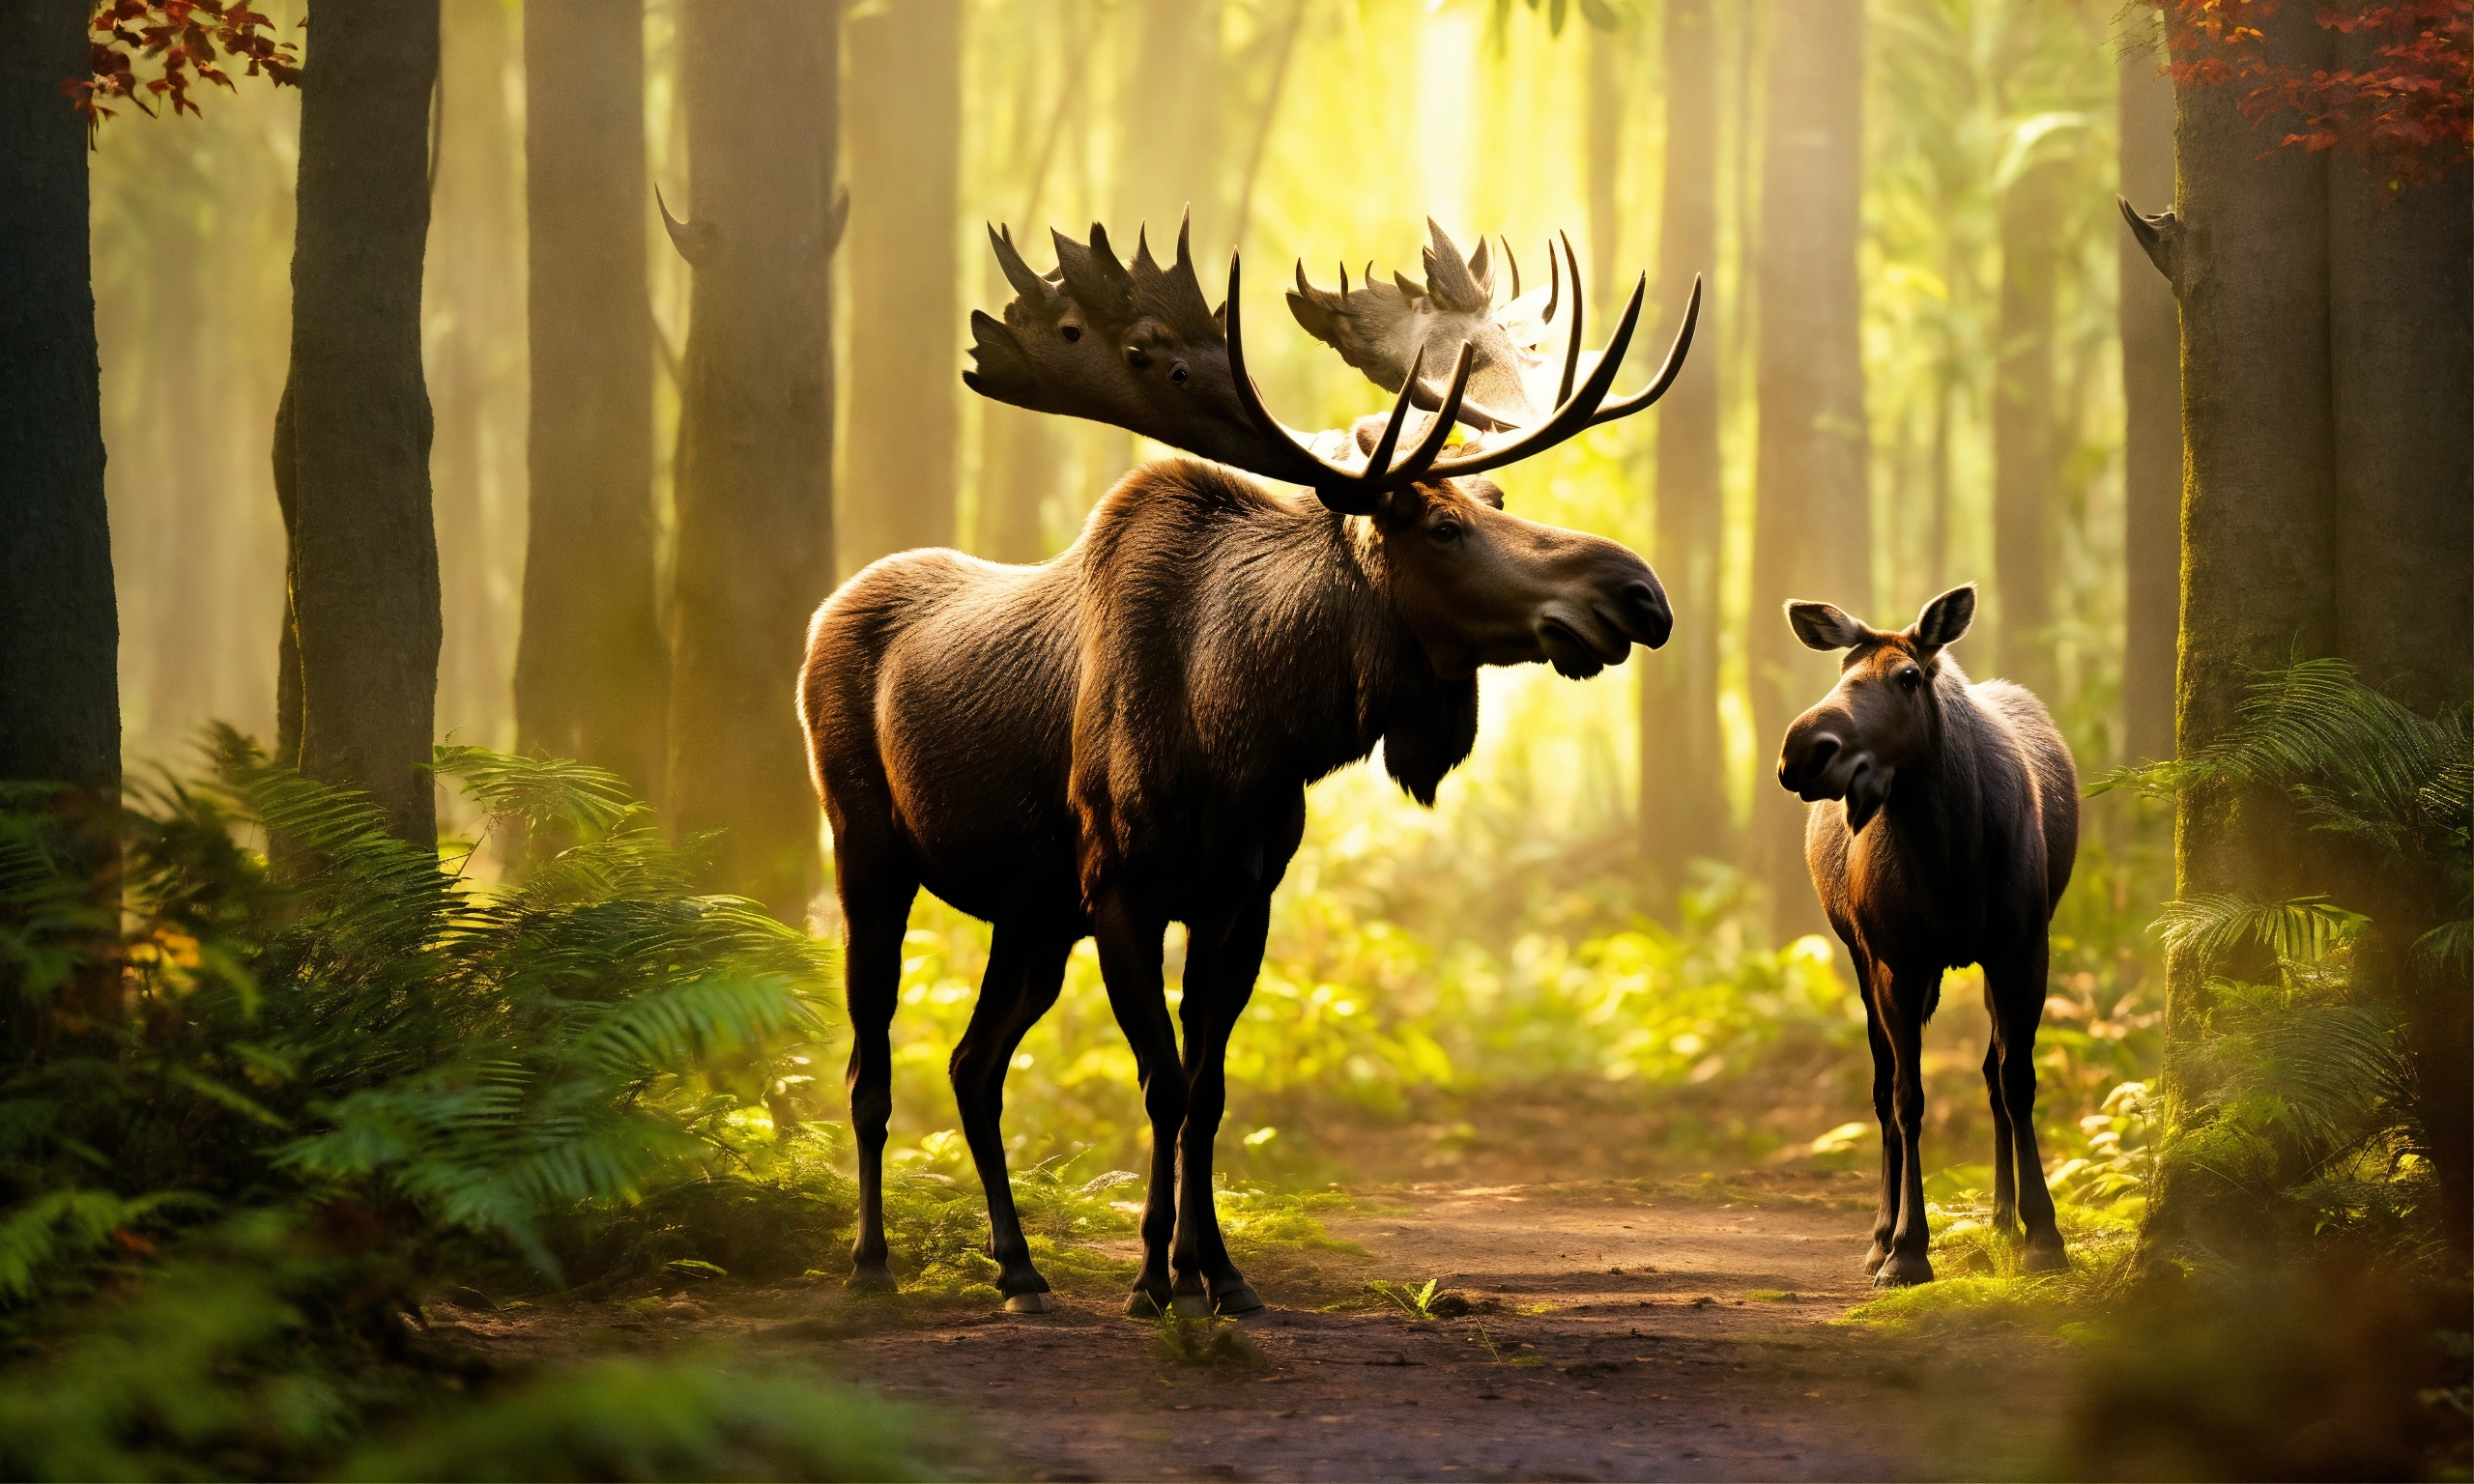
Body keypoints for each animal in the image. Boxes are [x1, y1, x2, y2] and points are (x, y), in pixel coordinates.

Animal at [800, 217, 1698, 1316]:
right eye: (1446, 526)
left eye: (1494, 495)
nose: (1638, 592)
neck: (1253, 724)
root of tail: (826, 614)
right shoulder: (1123, 891)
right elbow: (1163, 1082)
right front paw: (1155, 1277)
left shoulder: (1240, 897)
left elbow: (1210, 1088)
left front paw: (1217, 1272)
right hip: (869, 855)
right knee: (871, 1063)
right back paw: (871, 1262)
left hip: (1031, 913)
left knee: (974, 1064)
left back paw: (1019, 1267)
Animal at [1773, 584, 2078, 1287]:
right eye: (1843, 671)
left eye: (1907, 677)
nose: (1803, 749)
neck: (1953, 857)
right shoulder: (1898, 962)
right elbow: (1908, 1097)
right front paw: (1908, 1249)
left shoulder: (2023, 946)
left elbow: (2017, 1081)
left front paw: (2043, 1235)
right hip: (1860, 959)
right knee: (1882, 1086)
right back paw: (1880, 1235)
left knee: (1990, 1073)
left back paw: (2002, 1219)